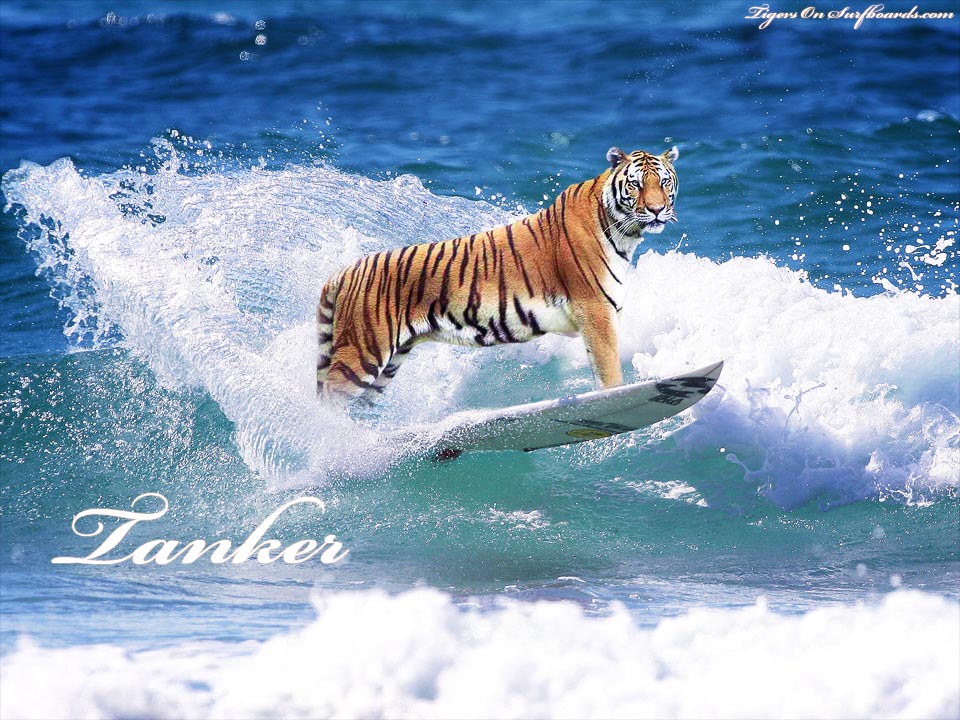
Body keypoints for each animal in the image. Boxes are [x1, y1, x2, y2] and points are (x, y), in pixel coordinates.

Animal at [316, 145, 679, 402]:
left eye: (663, 182)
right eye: (635, 185)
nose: (657, 210)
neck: (622, 230)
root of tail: (345, 271)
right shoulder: (595, 310)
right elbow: (609, 372)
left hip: (387, 363)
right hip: (361, 354)